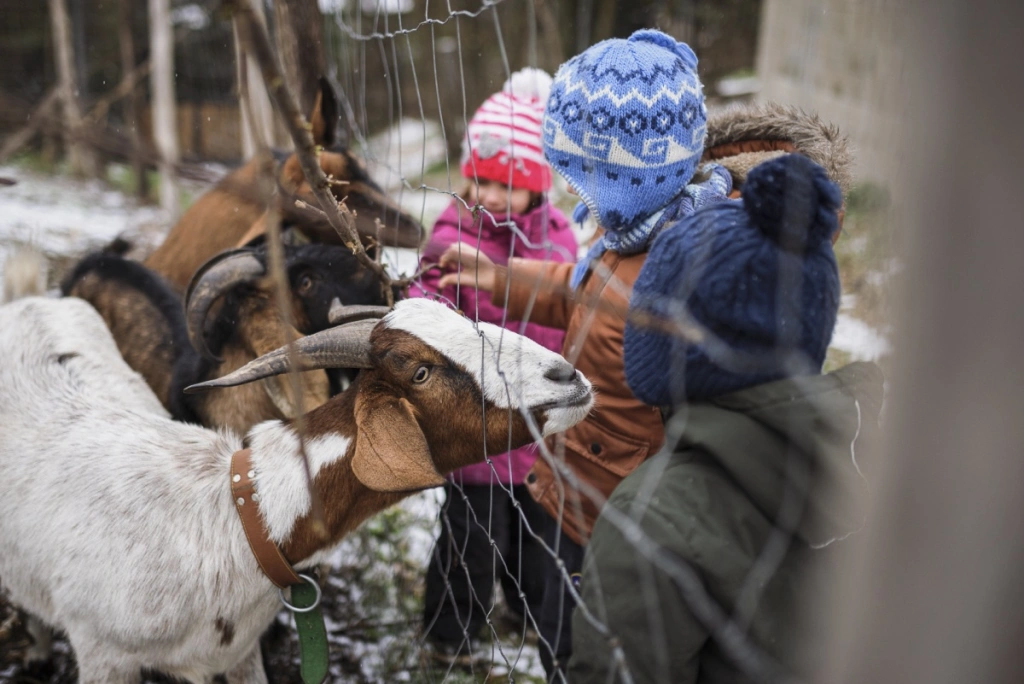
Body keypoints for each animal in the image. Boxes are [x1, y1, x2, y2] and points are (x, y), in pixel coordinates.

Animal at [0, 296, 593, 684]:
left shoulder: (240, 653)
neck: (231, 517)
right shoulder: (105, 656)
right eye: (421, 372)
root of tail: (35, 299)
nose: (568, 377)